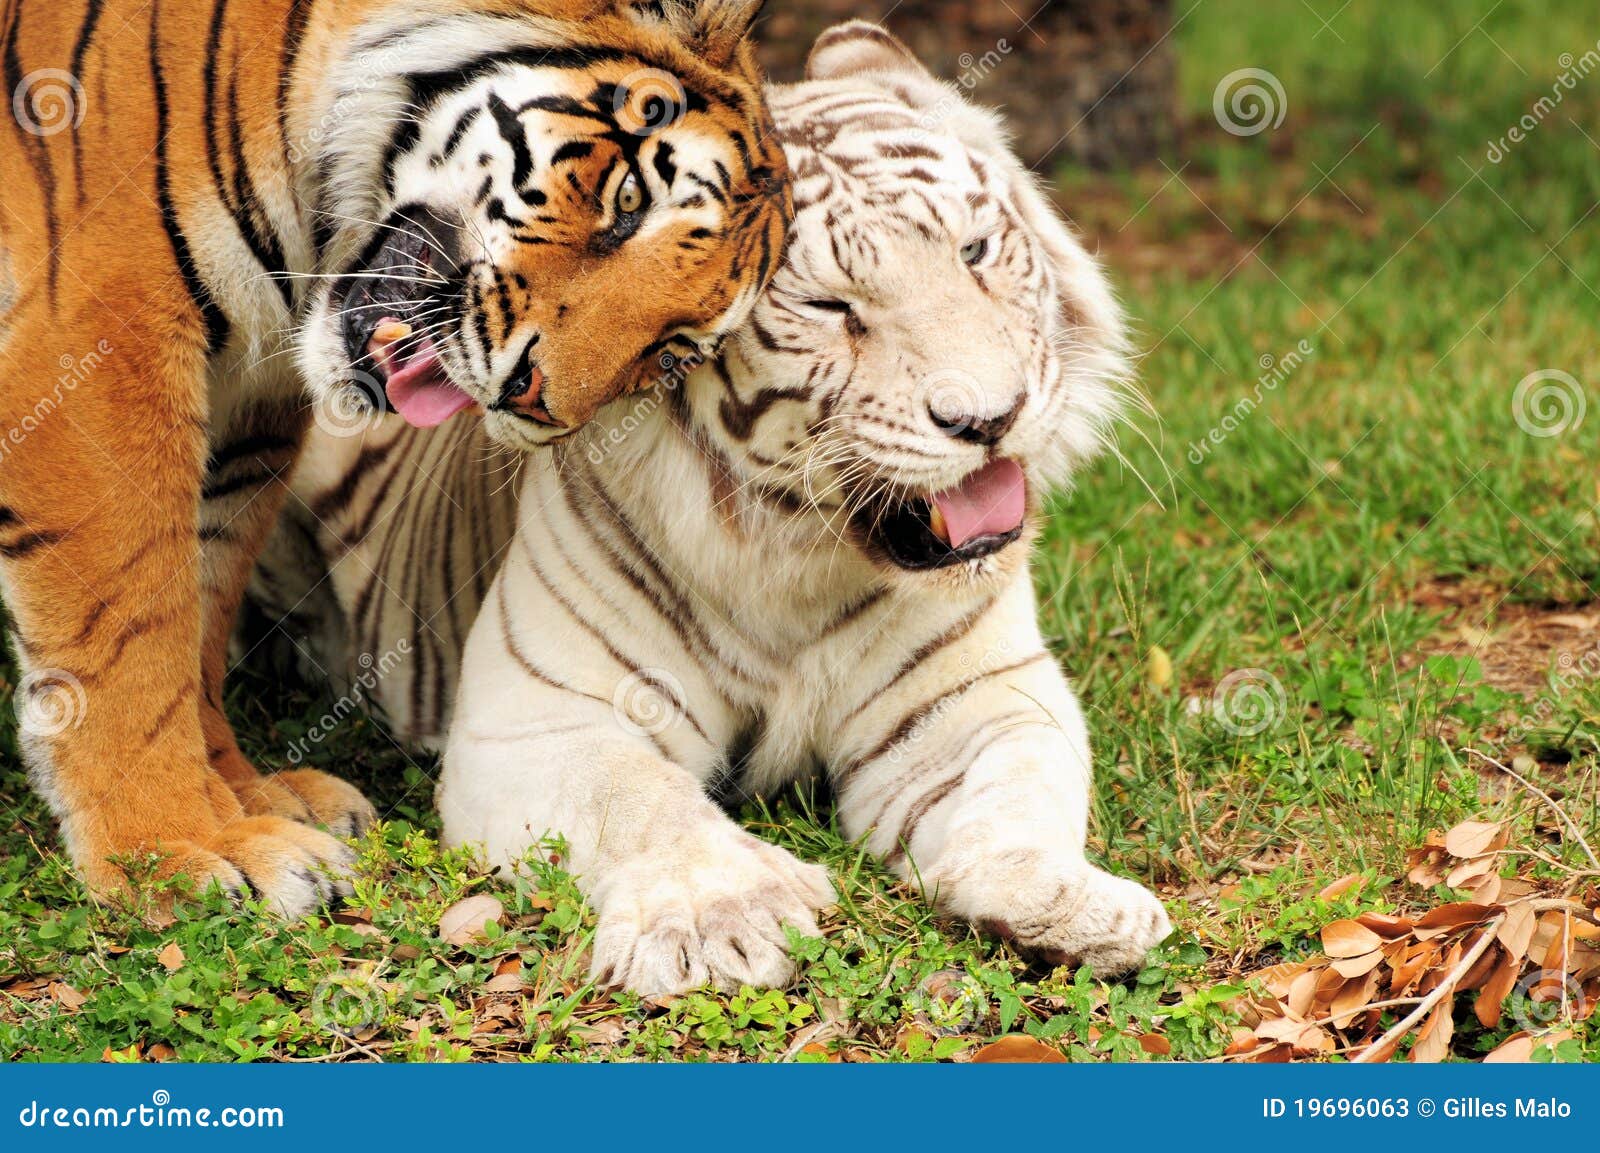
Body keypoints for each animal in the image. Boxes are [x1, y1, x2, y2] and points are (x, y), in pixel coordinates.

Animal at [0, 0, 789, 916]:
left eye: (671, 351)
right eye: (628, 203)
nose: (534, 398)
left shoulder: (245, 420)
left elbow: (195, 608)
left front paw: (250, 802)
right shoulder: (99, 340)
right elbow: (130, 625)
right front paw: (176, 845)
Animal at [252, 20, 1172, 990]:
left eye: (975, 252)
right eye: (828, 306)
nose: (989, 419)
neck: (792, 558)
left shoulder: (979, 698)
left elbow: (1016, 791)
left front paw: (1069, 902)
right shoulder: (538, 716)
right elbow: (638, 796)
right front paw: (725, 914)